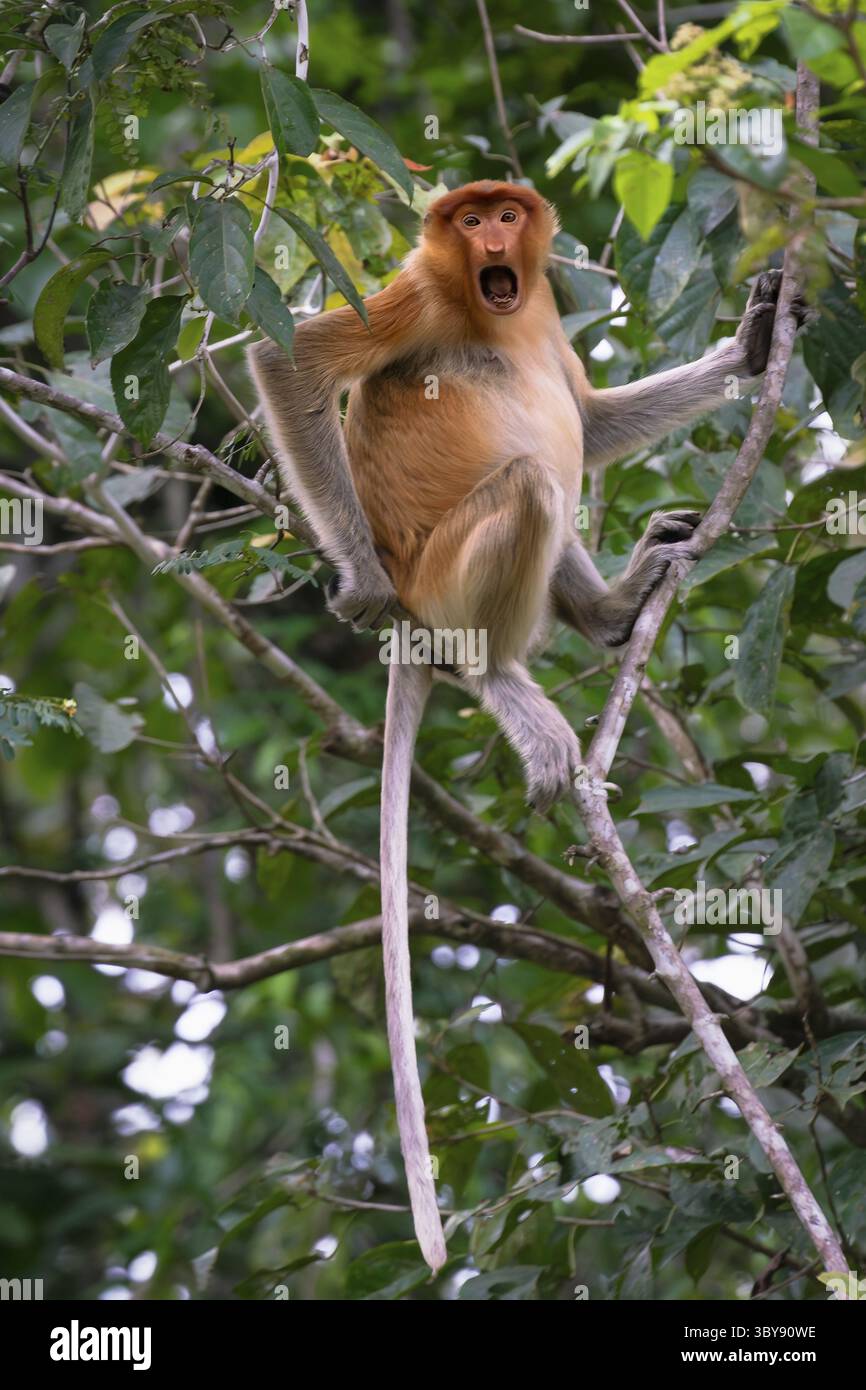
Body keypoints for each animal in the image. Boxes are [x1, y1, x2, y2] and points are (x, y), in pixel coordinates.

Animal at [248, 180, 798, 1272]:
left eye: (504, 212)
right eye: (467, 220)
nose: (494, 234)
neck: (489, 307)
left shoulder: (540, 309)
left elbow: (587, 413)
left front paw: (755, 344)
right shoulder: (419, 292)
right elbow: (290, 359)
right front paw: (354, 587)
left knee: (560, 446)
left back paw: (613, 610)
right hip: (448, 576)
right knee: (534, 483)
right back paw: (497, 674)